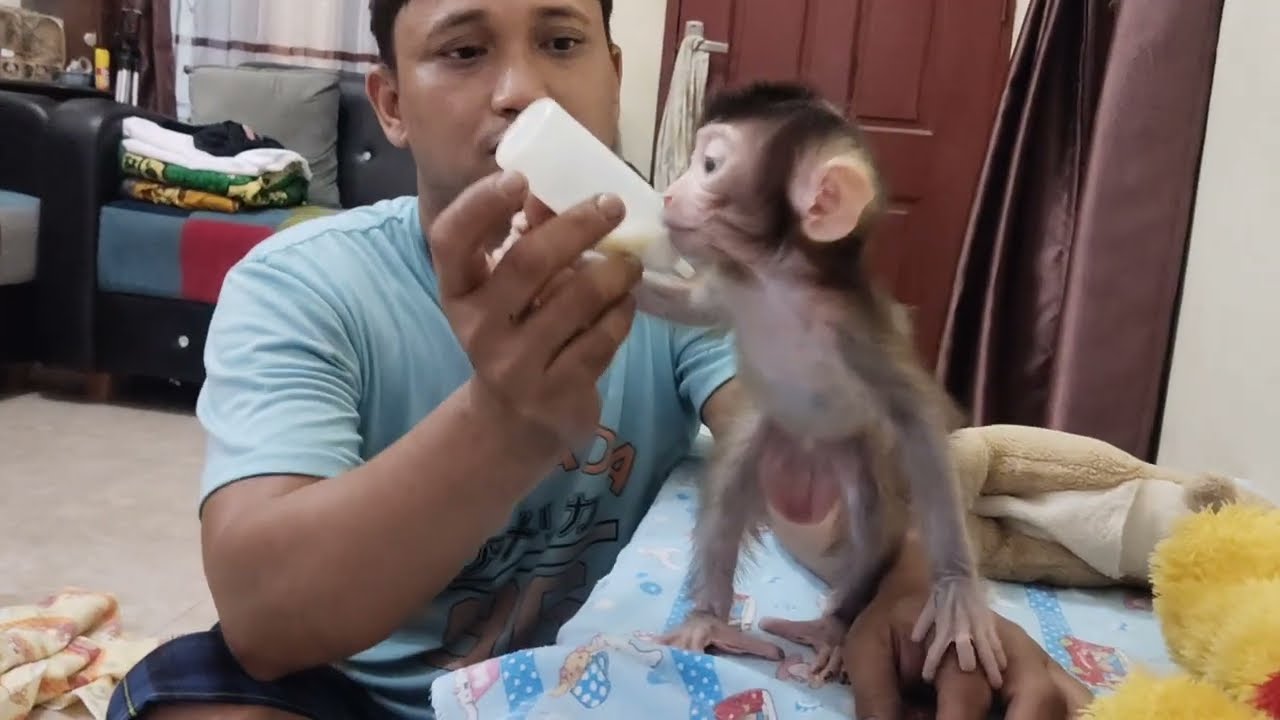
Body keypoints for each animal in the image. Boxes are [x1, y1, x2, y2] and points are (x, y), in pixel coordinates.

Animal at [631, 81, 1008, 689]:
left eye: (710, 165)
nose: (667, 195)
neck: (777, 282)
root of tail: (804, 464)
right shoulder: (732, 286)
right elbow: (687, 306)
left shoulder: (854, 331)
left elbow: (919, 422)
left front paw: (955, 592)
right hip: (770, 437)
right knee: (729, 490)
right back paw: (709, 621)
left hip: (850, 453)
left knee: (872, 520)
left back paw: (831, 628)